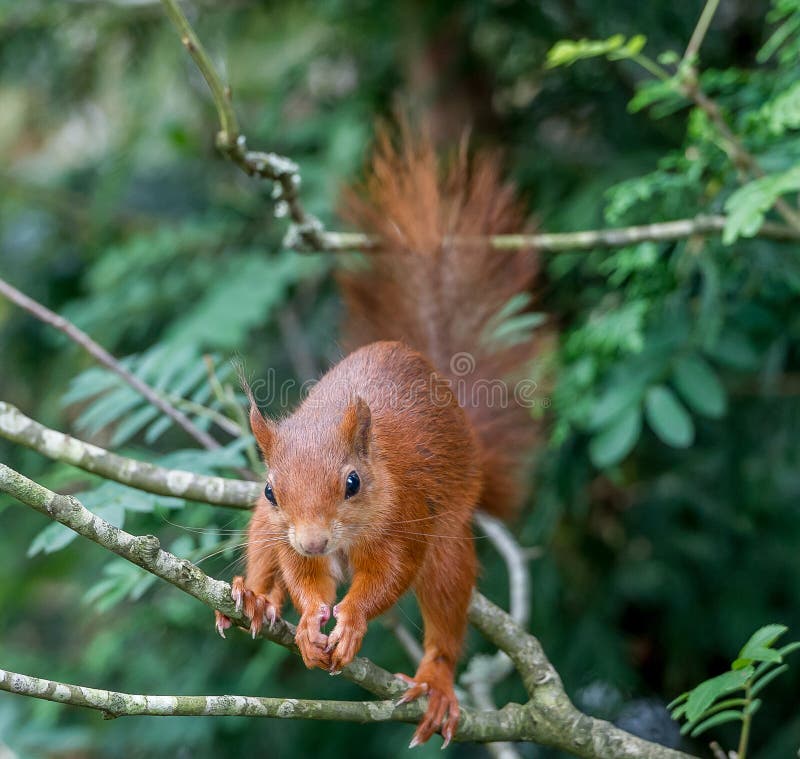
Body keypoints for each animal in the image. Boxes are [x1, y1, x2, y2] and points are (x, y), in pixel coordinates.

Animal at [214, 124, 539, 748]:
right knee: (266, 553)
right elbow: (299, 574)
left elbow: (390, 575)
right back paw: (254, 598)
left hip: (448, 542)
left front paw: (351, 622)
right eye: (270, 488)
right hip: (267, 531)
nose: (315, 541)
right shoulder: (281, 525)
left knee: (444, 605)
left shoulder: (406, 512)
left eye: (353, 483)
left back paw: (436, 683)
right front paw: (306, 616)